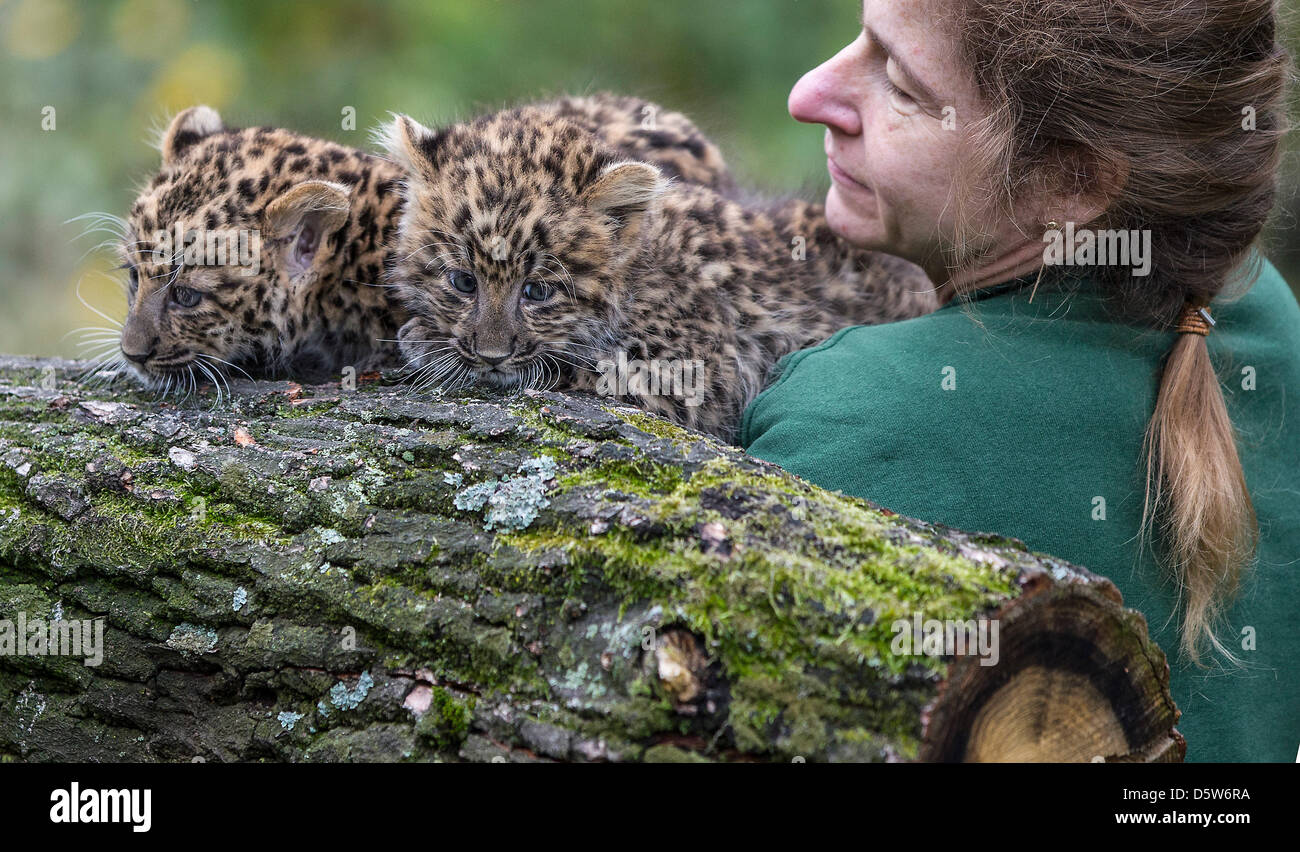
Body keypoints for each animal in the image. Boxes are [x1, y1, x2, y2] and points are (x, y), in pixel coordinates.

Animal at [383, 106, 938, 441]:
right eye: (463, 282)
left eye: (537, 291)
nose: (492, 355)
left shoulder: (696, 375)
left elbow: (580, 368)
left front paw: (421, 340)